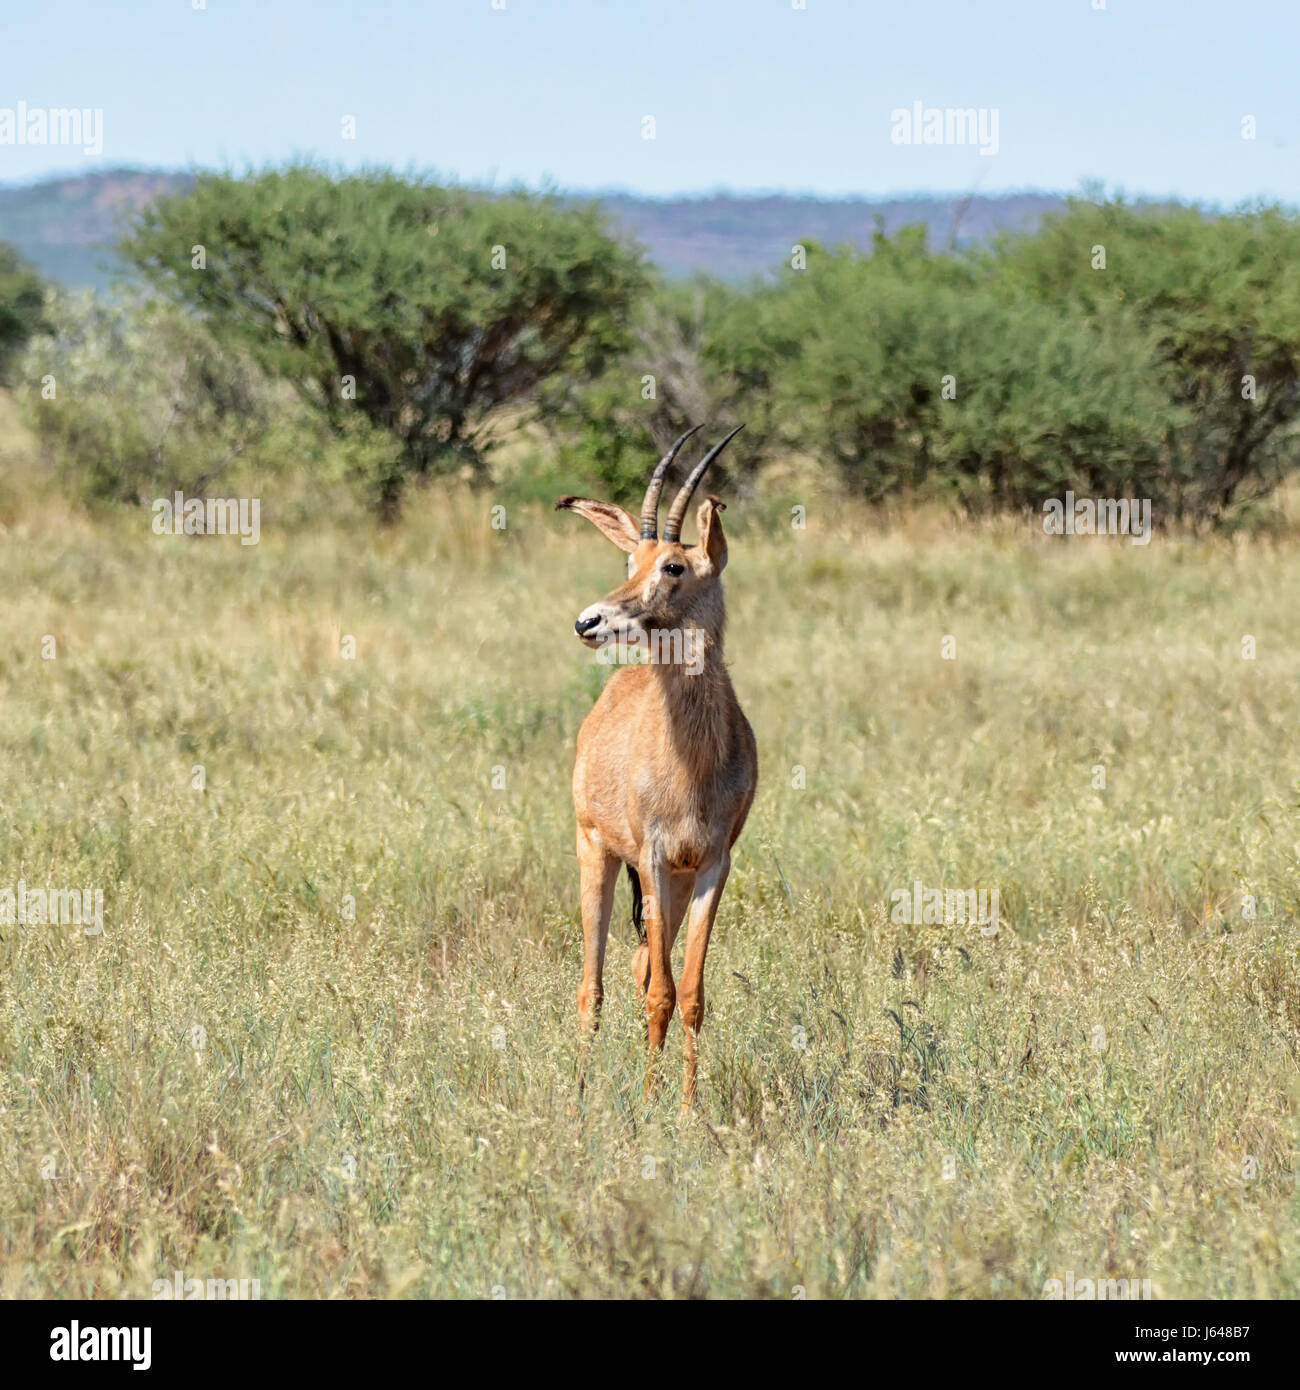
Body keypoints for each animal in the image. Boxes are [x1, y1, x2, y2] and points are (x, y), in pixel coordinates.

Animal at [556, 425, 757, 1104]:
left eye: (674, 565)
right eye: (630, 563)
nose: (588, 620)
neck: (692, 764)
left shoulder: (711, 863)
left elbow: (690, 993)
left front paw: (689, 1108)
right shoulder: (652, 854)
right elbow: (660, 994)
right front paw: (650, 1106)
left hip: (668, 880)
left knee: (641, 964)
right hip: (600, 855)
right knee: (592, 986)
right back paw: (581, 1093)